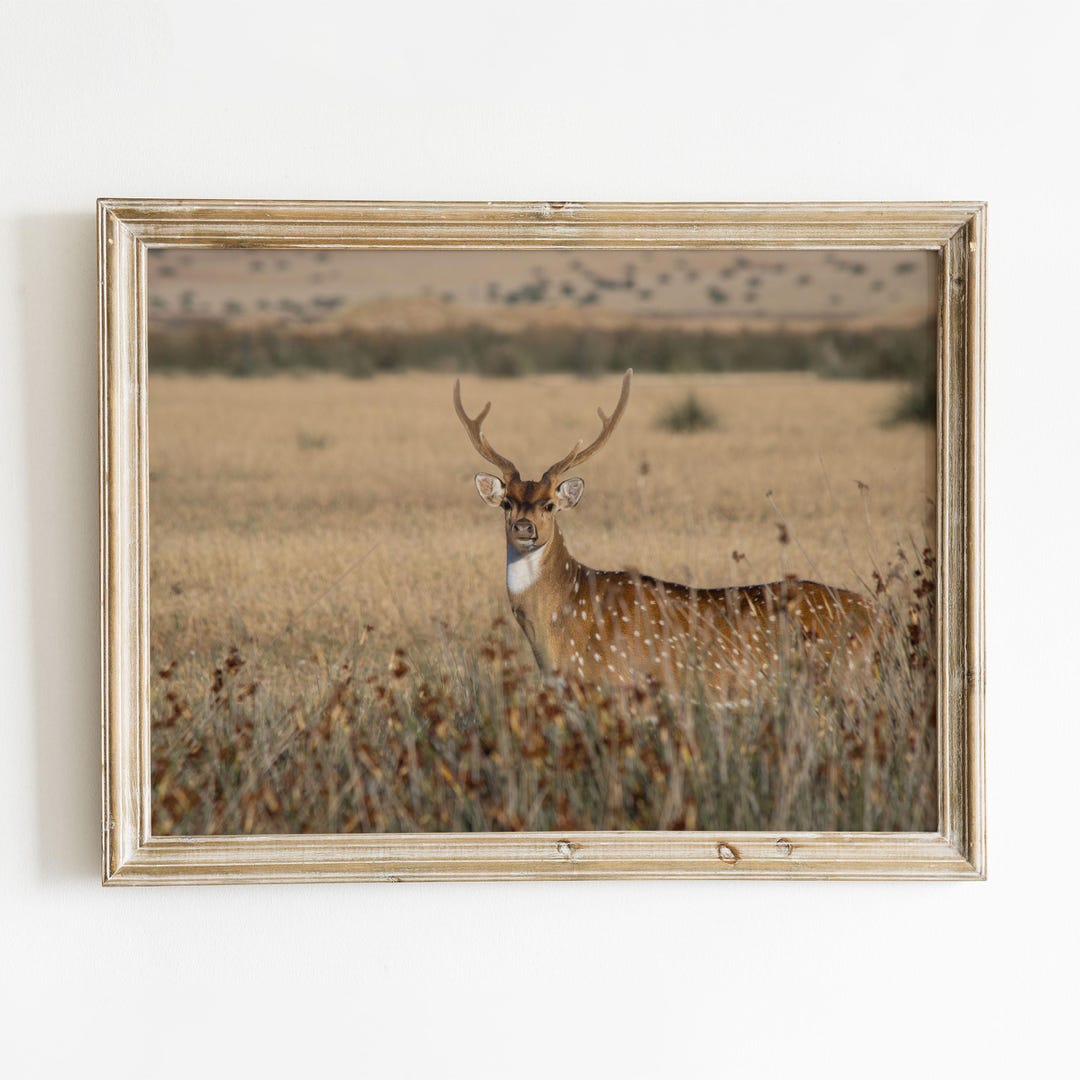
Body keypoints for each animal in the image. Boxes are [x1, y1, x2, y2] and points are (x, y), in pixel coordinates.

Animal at [453, 369, 875, 699]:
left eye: (550, 505)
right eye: (507, 503)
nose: (524, 528)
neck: (558, 636)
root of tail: (880, 616)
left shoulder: (621, 684)